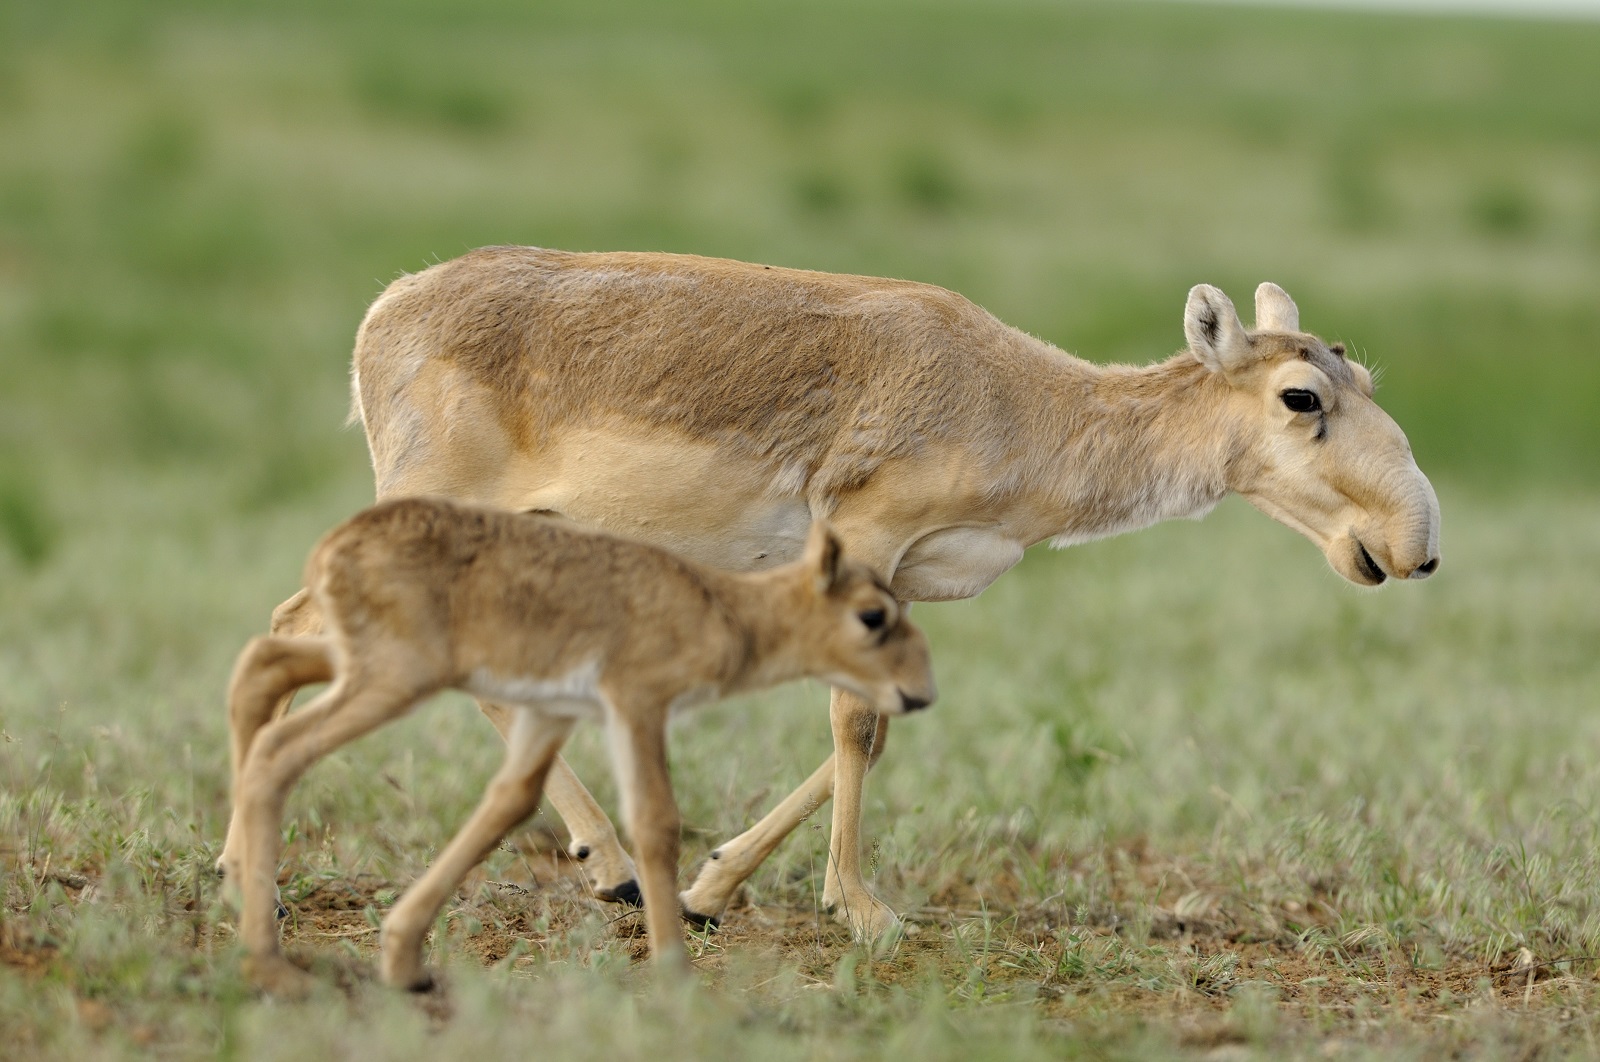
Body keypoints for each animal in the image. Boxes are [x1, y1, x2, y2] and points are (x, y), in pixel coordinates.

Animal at [220, 498, 935, 994]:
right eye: (873, 616)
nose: (922, 692)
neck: (721, 608)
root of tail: (337, 544)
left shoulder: (553, 715)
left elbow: (509, 803)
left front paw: (402, 959)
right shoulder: (637, 706)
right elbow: (656, 823)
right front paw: (675, 971)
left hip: (365, 666)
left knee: (262, 665)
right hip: (393, 679)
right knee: (279, 747)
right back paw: (269, 963)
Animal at [262, 247, 1440, 942]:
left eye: (1363, 377)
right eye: (1301, 395)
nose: (1413, 545)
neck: (1021, 402)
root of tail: (383, 312)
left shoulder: (907, 581)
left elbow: (882, 718)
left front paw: (711, 886)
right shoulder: (864, 542)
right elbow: (853, 722)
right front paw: (862, 909)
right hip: (429, 508)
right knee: (306, 628)